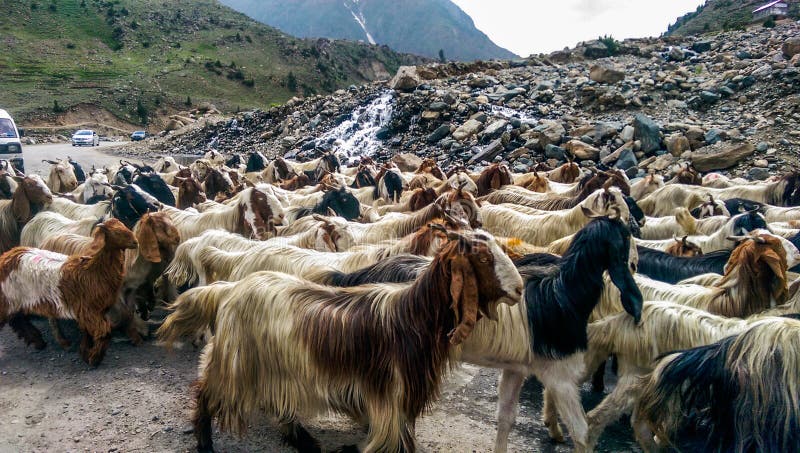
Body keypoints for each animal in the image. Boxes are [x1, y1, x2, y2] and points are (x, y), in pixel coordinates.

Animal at [0, 218, 137, 365]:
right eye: (116, 232)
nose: (136, 242)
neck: (93, 271)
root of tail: (8, 256)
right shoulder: (88, 310)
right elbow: (103, 332)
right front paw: (94, 358)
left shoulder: (93, 311)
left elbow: (87, 332)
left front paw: (85, 353)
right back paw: (59, 342)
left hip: (18, 299)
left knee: (18, 320)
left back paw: (39, 342)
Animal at [158, 229, 523, 453]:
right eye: (484, 259)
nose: (519, 289)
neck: (413, 317)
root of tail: (229, 289)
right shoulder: (392, 397)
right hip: (234, 362)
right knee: (205, 394)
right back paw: (206, 443)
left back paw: (304, 441)